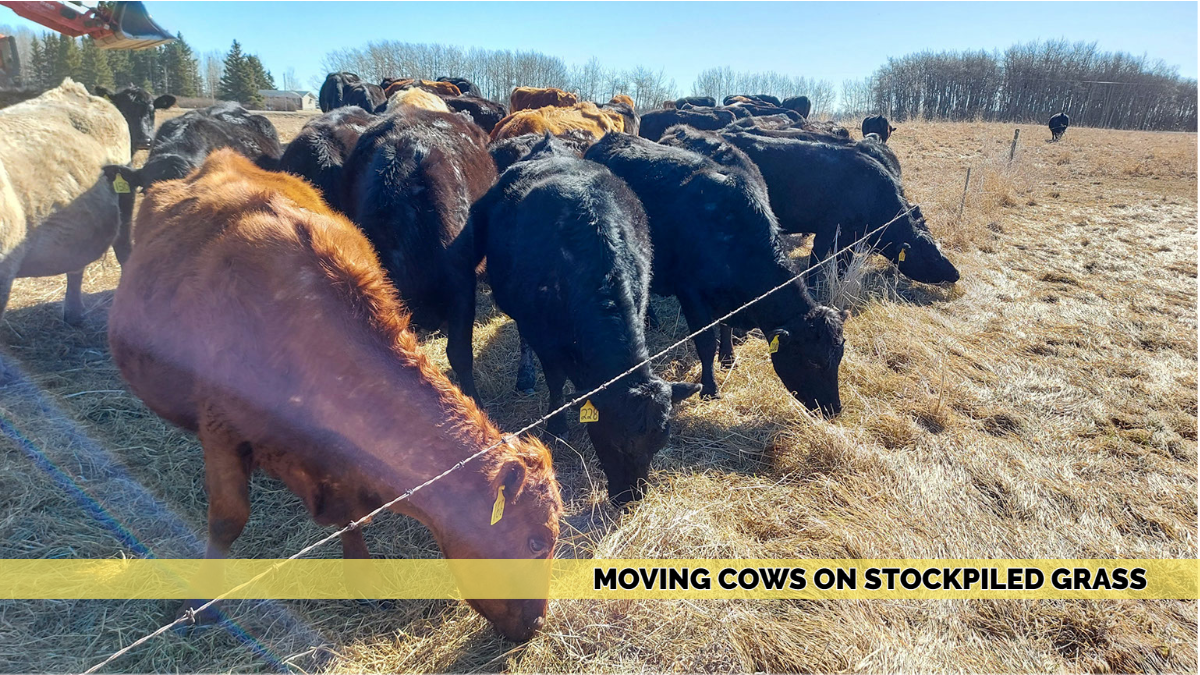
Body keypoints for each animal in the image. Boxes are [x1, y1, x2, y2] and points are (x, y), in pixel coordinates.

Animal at [107, 148, 562, 642]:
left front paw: (362, 578)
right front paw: (202, 602)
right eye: (536, 541)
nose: (537, 623)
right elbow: (227, 519)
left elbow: (353, 518)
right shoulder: (221, 428)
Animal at [467, 135, 701, 504]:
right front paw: (557, 426)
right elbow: (555, 380)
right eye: (614, 439)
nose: (630, 497)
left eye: (659, 443)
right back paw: (525, 376)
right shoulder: (545, 338)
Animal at [585, 132, 848, 411]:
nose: (834, 409)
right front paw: (710, 387)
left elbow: (725, 327)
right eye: (812, 361)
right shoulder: (690, 293)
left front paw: (729, 357)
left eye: (839, 355)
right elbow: (706, 342)